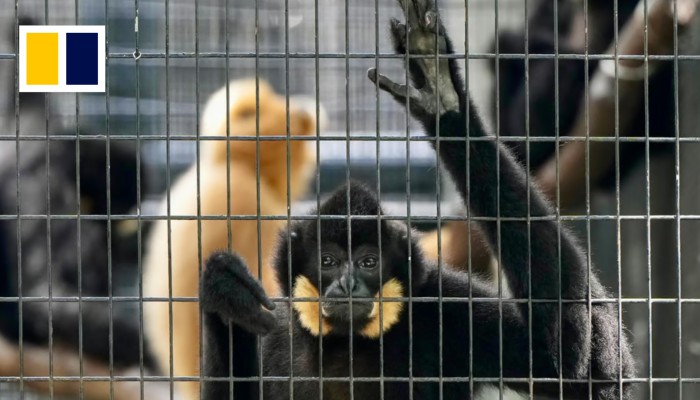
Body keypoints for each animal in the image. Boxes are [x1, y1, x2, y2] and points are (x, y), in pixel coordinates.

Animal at [197, 0, 635, 399]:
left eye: (369, 261)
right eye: (329, 261)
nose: (348, 283)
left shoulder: (451, 308)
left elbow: (583, 369)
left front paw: (444, 102)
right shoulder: (279, 330)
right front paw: (225, 295)